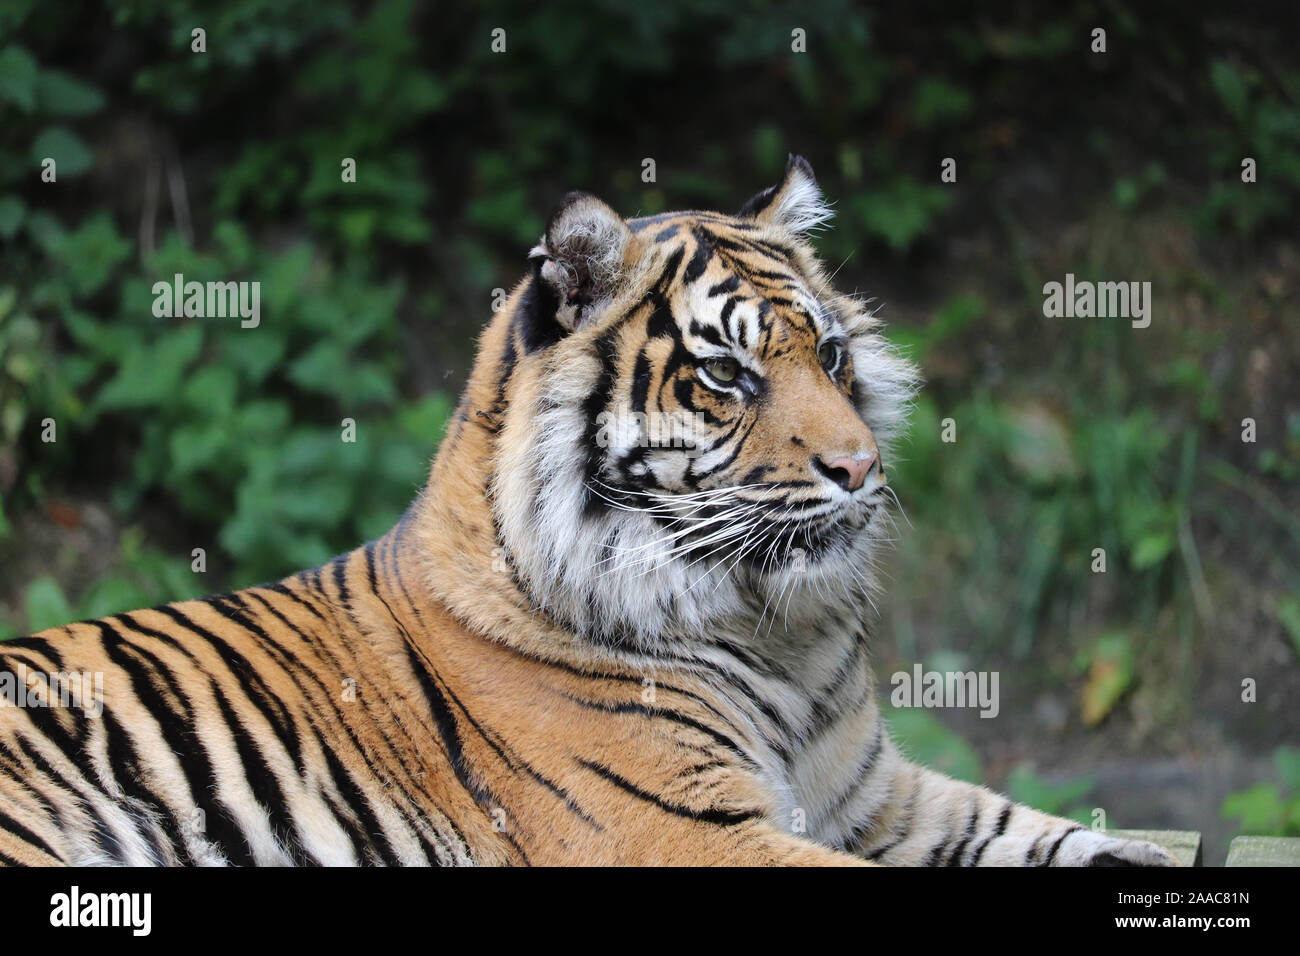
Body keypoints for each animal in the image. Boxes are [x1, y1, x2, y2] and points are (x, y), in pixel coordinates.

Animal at [0, 155, 1175, 867]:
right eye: (726, 374)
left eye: (832, 356)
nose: (861, 465)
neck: (779, 633)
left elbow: (1078, 840)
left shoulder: (877, 797)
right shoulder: (693, 833)